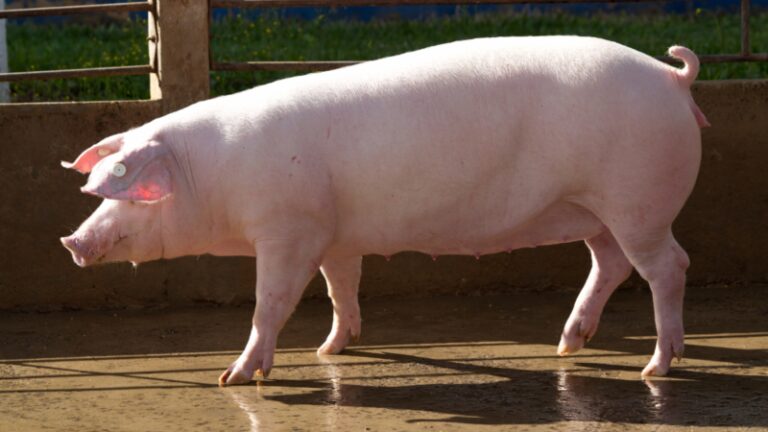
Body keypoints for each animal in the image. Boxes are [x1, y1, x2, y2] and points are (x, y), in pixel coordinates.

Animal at [60, 36, 709, 386]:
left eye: (122, 185)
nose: (72, 241)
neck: (212, 172)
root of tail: (672, 78)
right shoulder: (335, 233)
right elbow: (340, 287)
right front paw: (331, 349)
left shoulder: (289, 229)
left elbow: (272, 300)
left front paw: (233, 377)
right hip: (594, 210)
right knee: (611, 264)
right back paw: (567, 346)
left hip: (638, 200)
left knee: (669, 267)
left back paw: (656, 368)